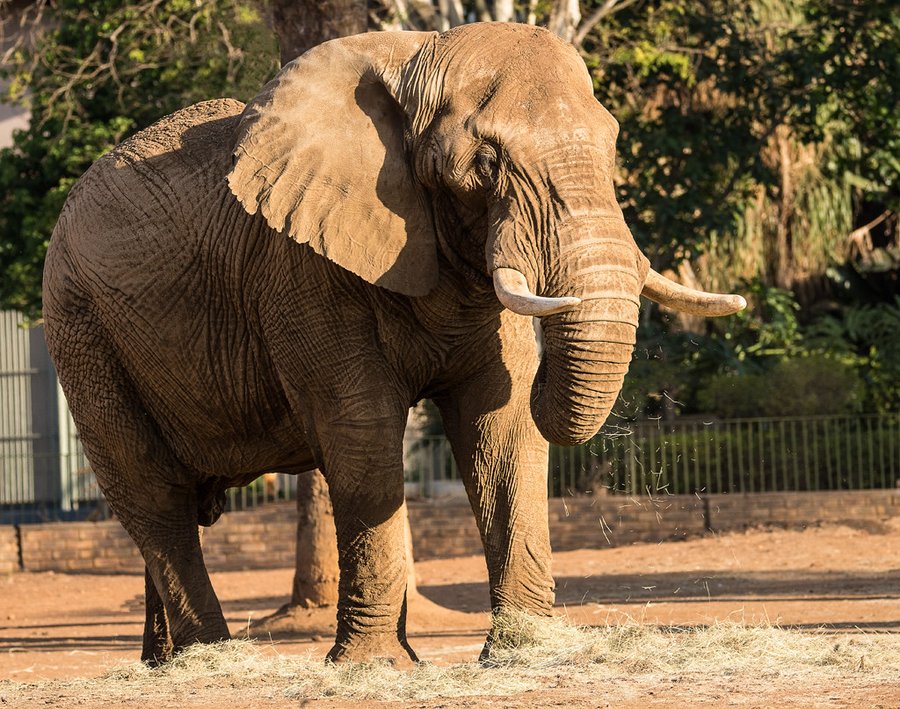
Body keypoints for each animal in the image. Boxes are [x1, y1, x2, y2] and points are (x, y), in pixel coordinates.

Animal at [42, 23, 745, 666]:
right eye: (486, 163)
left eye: (613, 146)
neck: (414, 53)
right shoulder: (301, 266)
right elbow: (363, 430)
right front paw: (378, 666)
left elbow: (501, 426)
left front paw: (523, 651)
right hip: (80, 329)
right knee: (152, 493)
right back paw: (211, 659)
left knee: (178, 505)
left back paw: (162, 665)